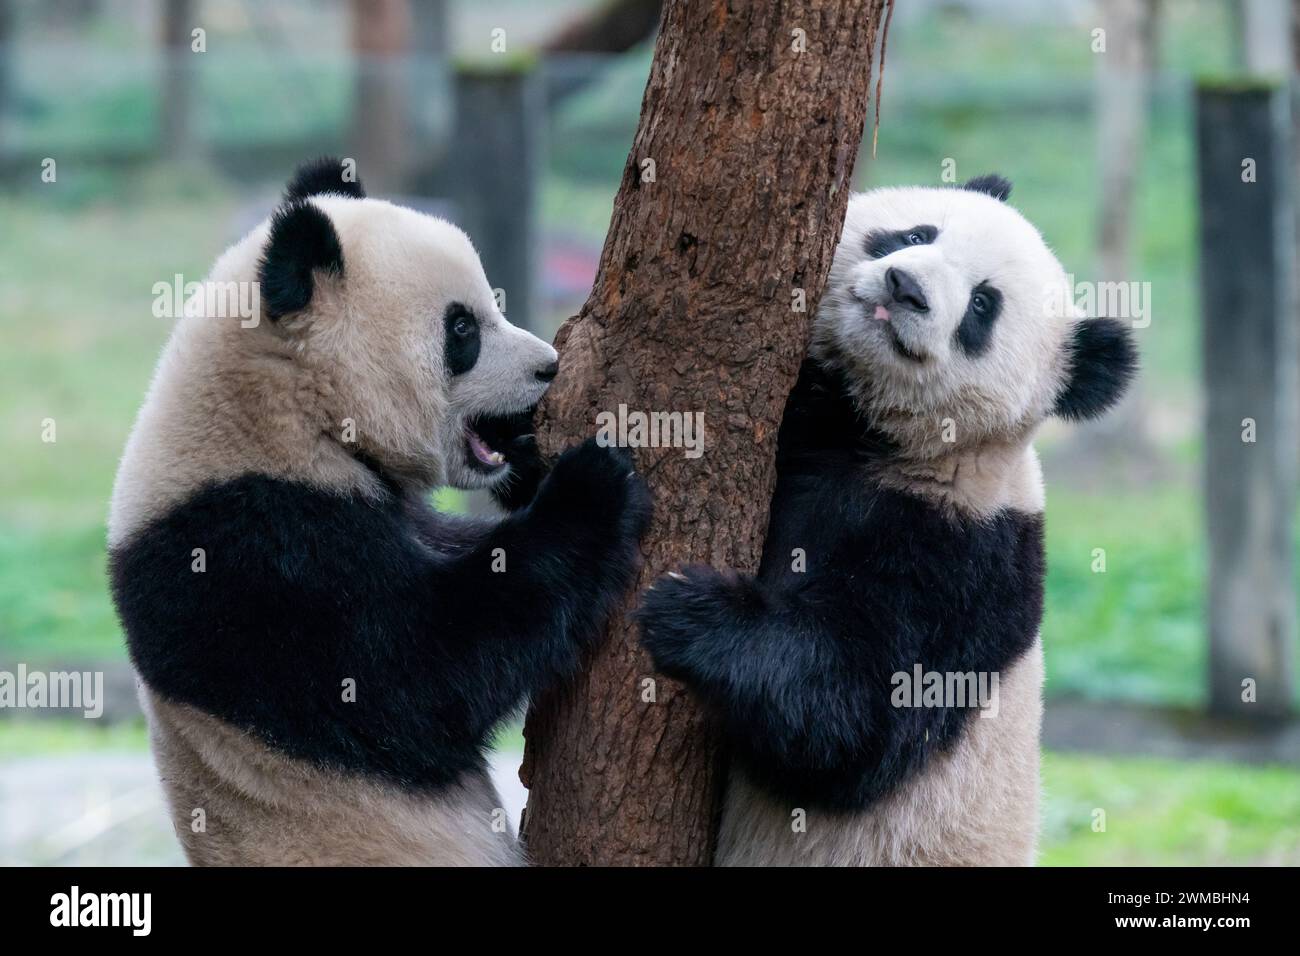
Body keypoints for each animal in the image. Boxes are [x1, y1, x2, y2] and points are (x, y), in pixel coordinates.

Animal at [108, 157, 650, 866]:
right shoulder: (253, 547)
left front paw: (528, 453)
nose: (548, 367)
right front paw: (593, 486)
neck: (290, 410)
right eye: (462, 329)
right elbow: (416, 677)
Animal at [637, 175, 1137, 866]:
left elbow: (857, 715)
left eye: (983, 305)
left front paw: (693, 609)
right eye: (916, 234)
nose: (905, 286)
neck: (873, 433)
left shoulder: (961, 558)